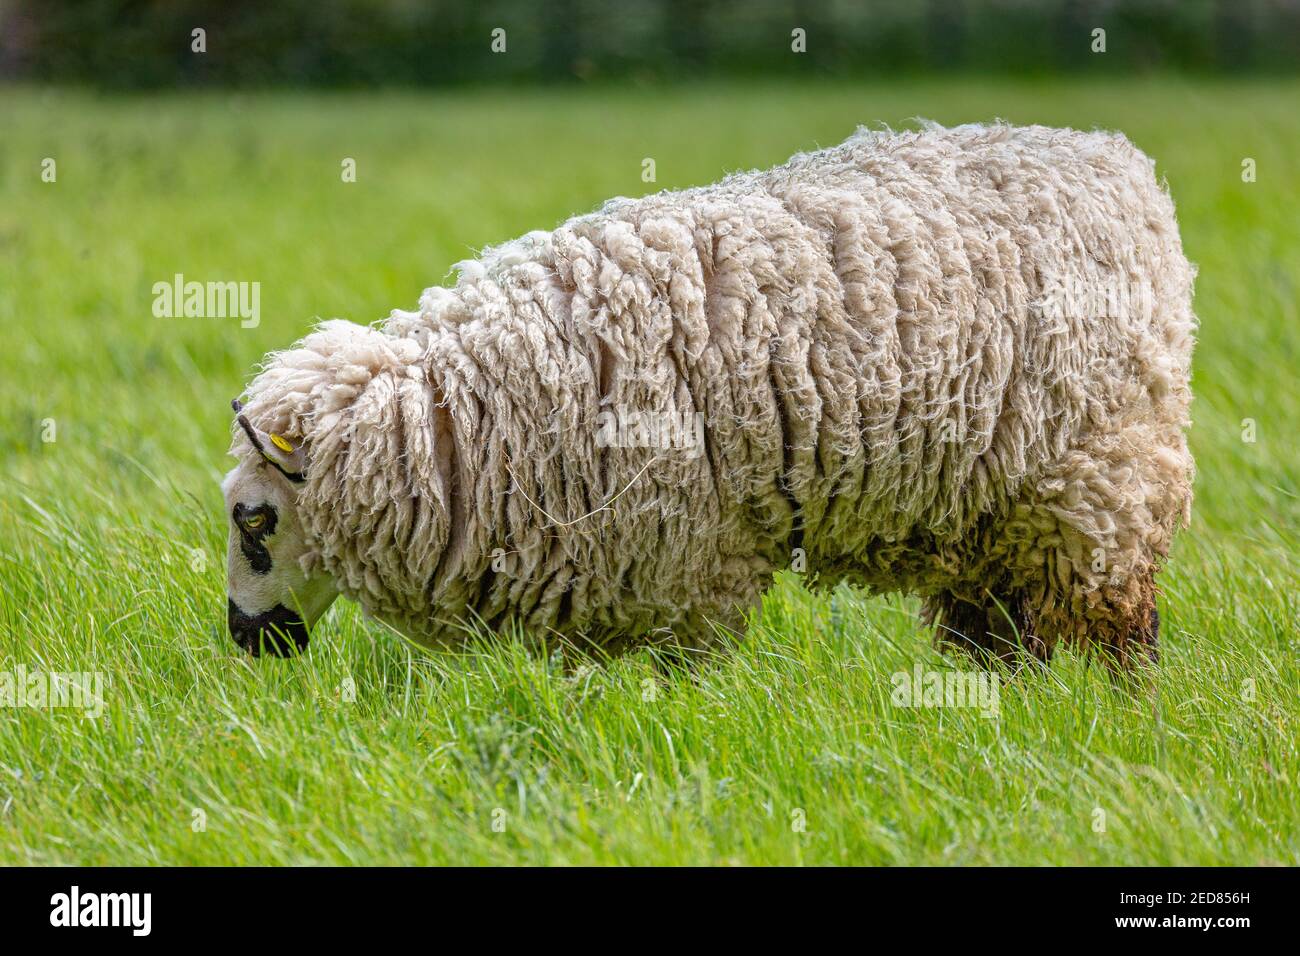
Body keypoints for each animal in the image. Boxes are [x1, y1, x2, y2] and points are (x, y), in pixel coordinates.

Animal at [224, 122, 1195, 668]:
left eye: (256, 519)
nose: (244, 640)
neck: (465, 419)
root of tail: (1122, 165)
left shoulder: (685, 563)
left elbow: (689, 681)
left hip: (1106, 482)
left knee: (1121, 628)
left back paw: (1119, 717)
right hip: (989, 509)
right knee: (1001, 630)